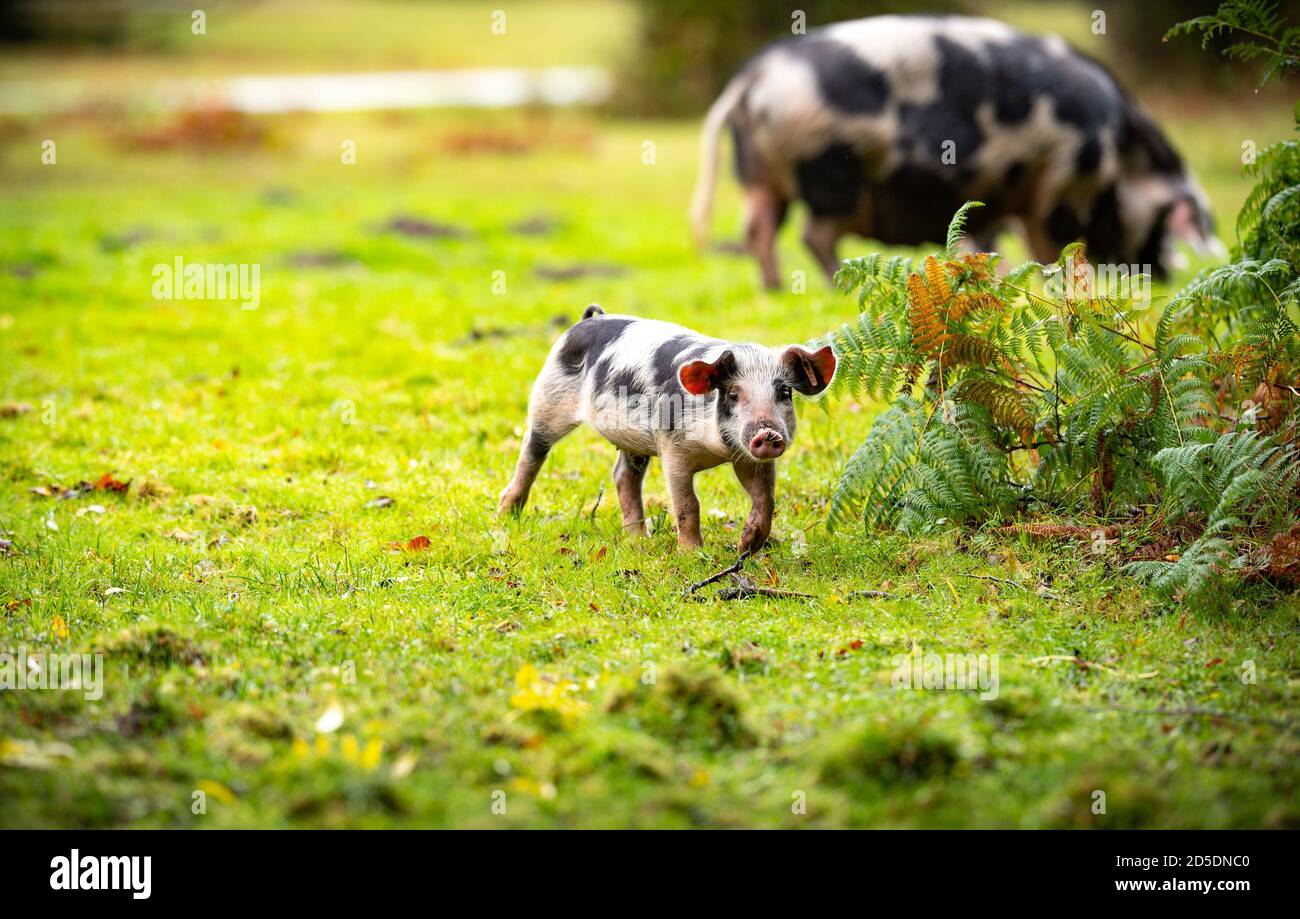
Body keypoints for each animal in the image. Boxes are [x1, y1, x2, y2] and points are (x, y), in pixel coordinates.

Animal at [498, 305, 836, 554]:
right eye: (733, 394)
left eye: (784, 392)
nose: (767, 433)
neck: (716, 451)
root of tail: (589, 320)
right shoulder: (673, 448)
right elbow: (687, 504)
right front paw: (693, 554)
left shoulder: (746, 457)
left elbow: (765, 500)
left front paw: (746, 547)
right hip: (548, 399)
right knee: (532, 450)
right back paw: (506, 514)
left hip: (631, 438)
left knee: (624, 476)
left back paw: (639, 539)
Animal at [689, 14, 1223, 289]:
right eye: (1172, 219)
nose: (1170, 272)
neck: (1117, 154)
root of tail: (754, 75)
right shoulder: (1062, 183)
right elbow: (1054, 242)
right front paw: (1065, 276)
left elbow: (986, 236)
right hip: (830, 173)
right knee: (812, 233)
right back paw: (837, 280)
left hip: (764, 177)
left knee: (758, 227)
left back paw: (775, 286)